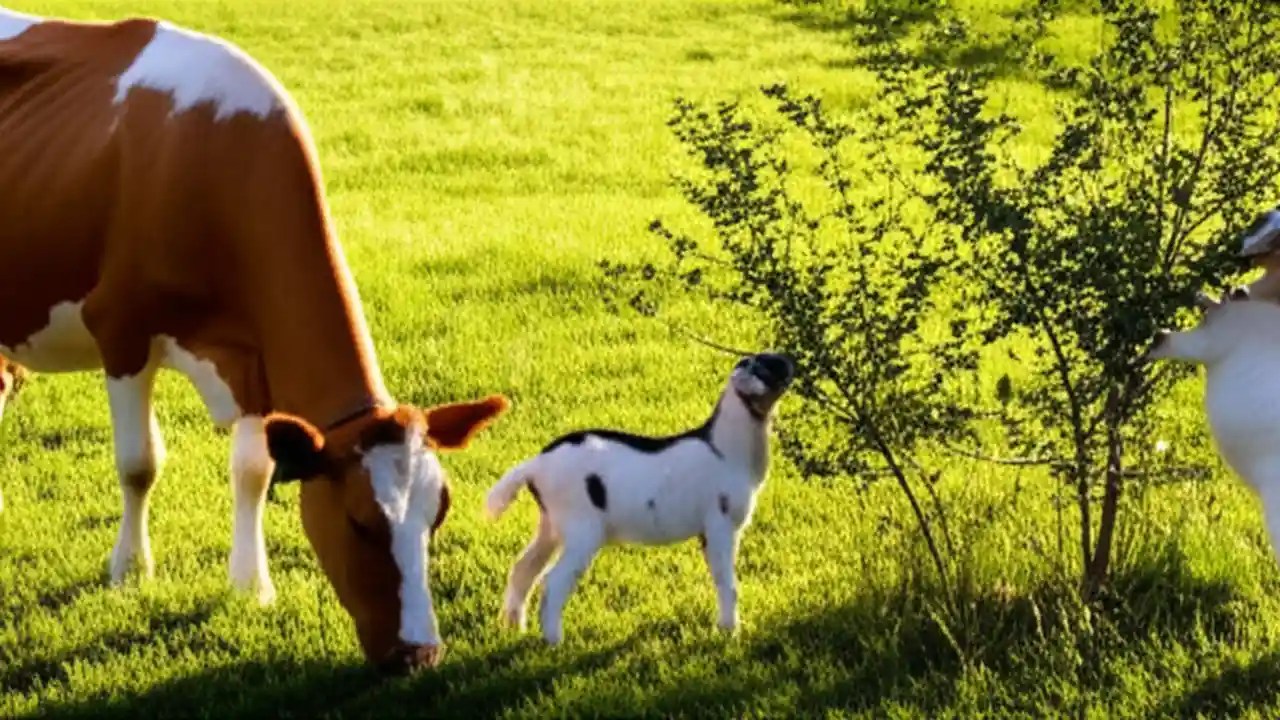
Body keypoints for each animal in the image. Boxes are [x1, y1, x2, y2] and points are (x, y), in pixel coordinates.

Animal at [0, 8, 509, 675]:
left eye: (439, 515)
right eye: (359, 523)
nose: (420, 654)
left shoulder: (251, 359)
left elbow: (253, 470)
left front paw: (251, 585)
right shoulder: (121, 329)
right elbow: (139, 464)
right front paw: (130, 569)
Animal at [484, 352, 796, 645]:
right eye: (770, 367)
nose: (791, 361)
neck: (726, 451)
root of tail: (536, 465)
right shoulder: (720, 525)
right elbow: (726, 582)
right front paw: (730, 632)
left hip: (550, 525)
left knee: (523, 569)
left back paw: (513, 627)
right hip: (582, 530)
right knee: (553, 581)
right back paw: (554, 642)